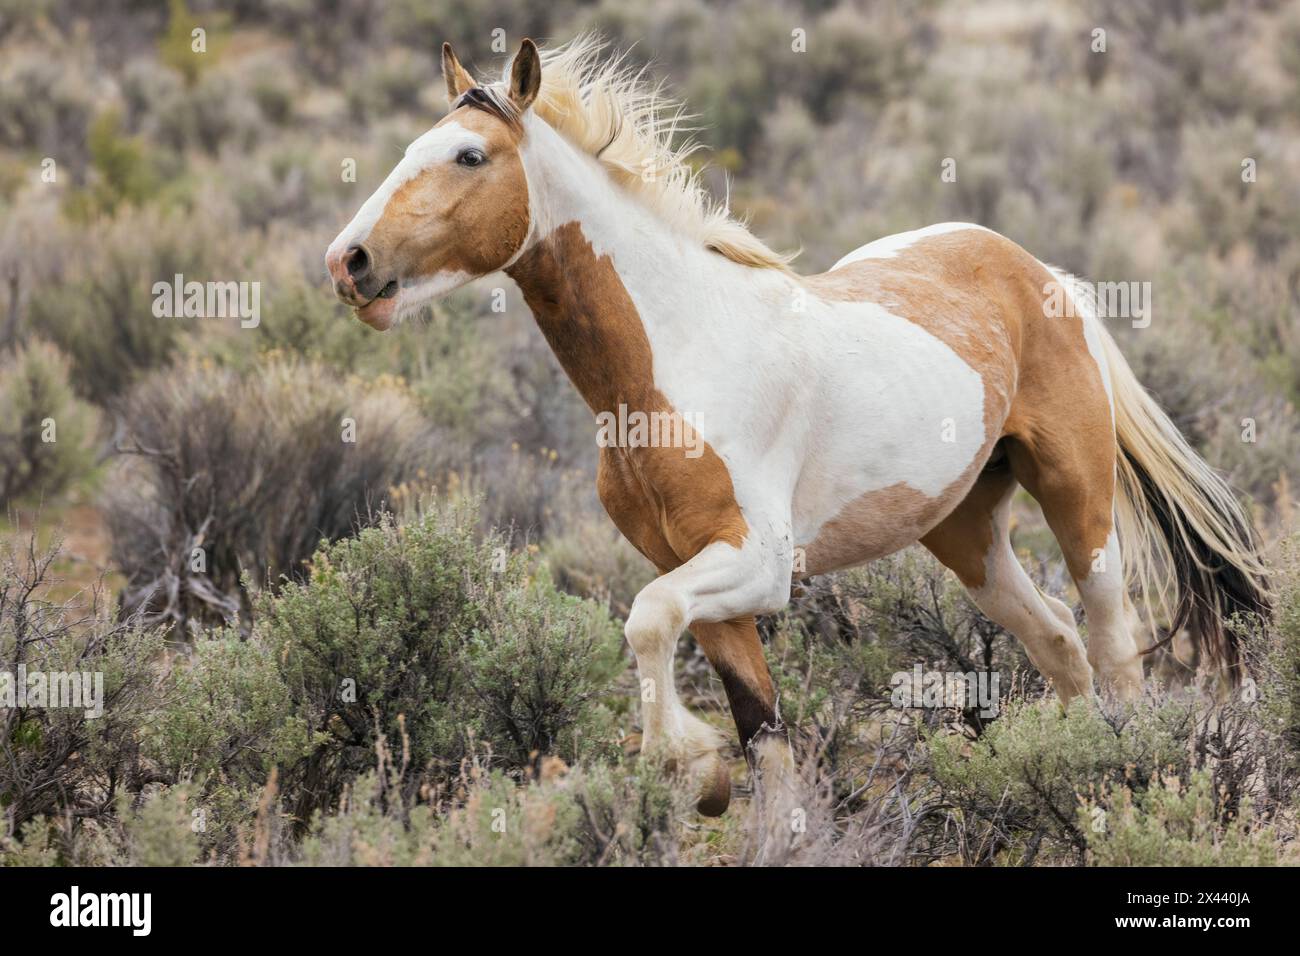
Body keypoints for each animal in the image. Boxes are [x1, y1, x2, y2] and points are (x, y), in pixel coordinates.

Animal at [326, 36, 1271, 816]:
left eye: (469, 154)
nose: (349, 261)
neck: (675, 361)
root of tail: (1043, 273)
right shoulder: (695, 575)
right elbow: (760, 730)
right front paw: (728, 788)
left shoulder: (756, 564)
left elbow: (645, 623)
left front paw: (691, 767)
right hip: (966, 532)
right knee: (1061, 647)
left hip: (1079, 502)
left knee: (1114, 654)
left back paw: (1127, 789)